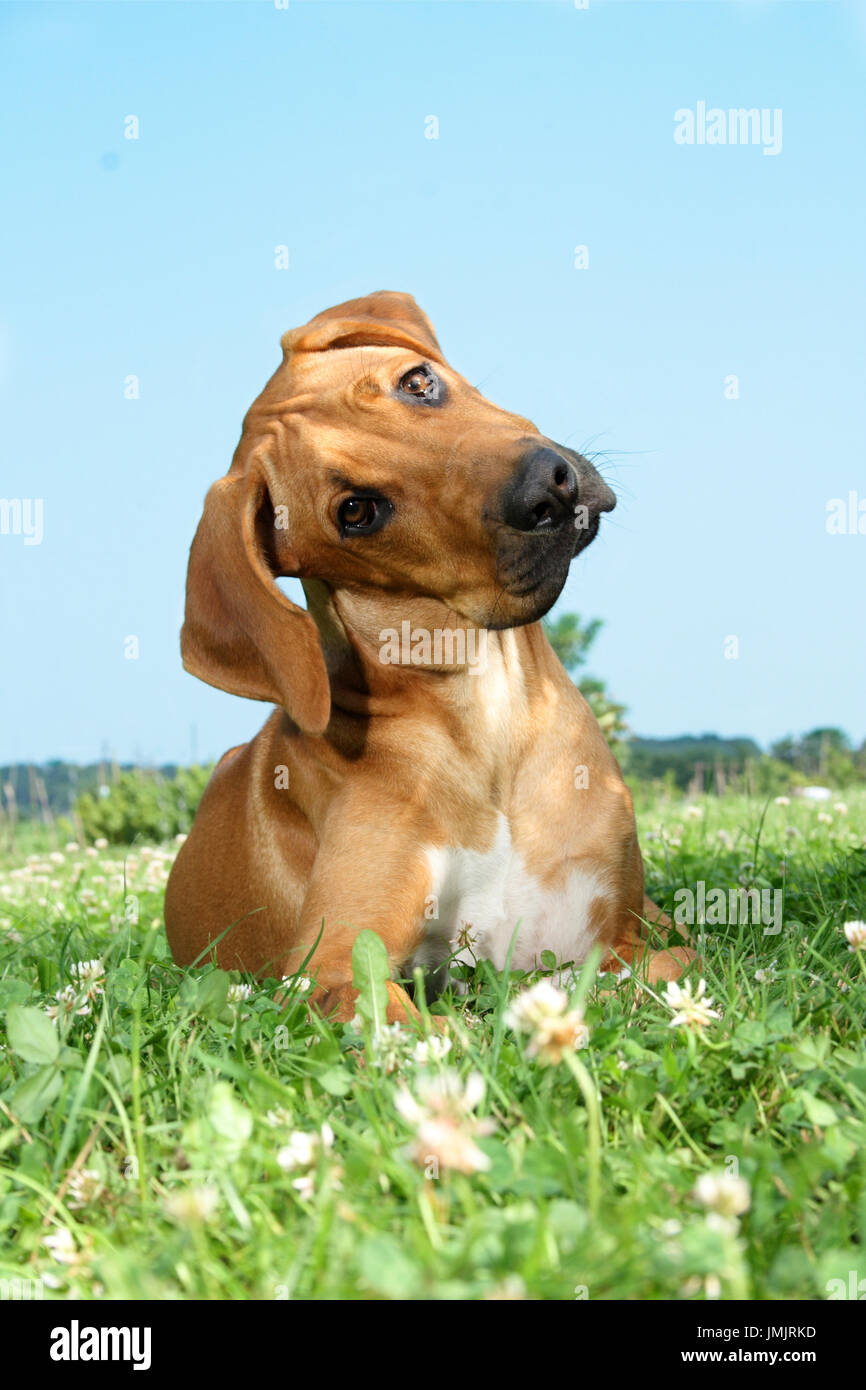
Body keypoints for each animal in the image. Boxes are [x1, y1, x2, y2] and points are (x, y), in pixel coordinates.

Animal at [162, 290, 692, 1023]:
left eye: (418, 382)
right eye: (357, 511)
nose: (547, 488)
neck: (486, 720)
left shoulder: (627, 927)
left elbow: (655, 964)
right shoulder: (328, 968)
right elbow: (421, 1022)